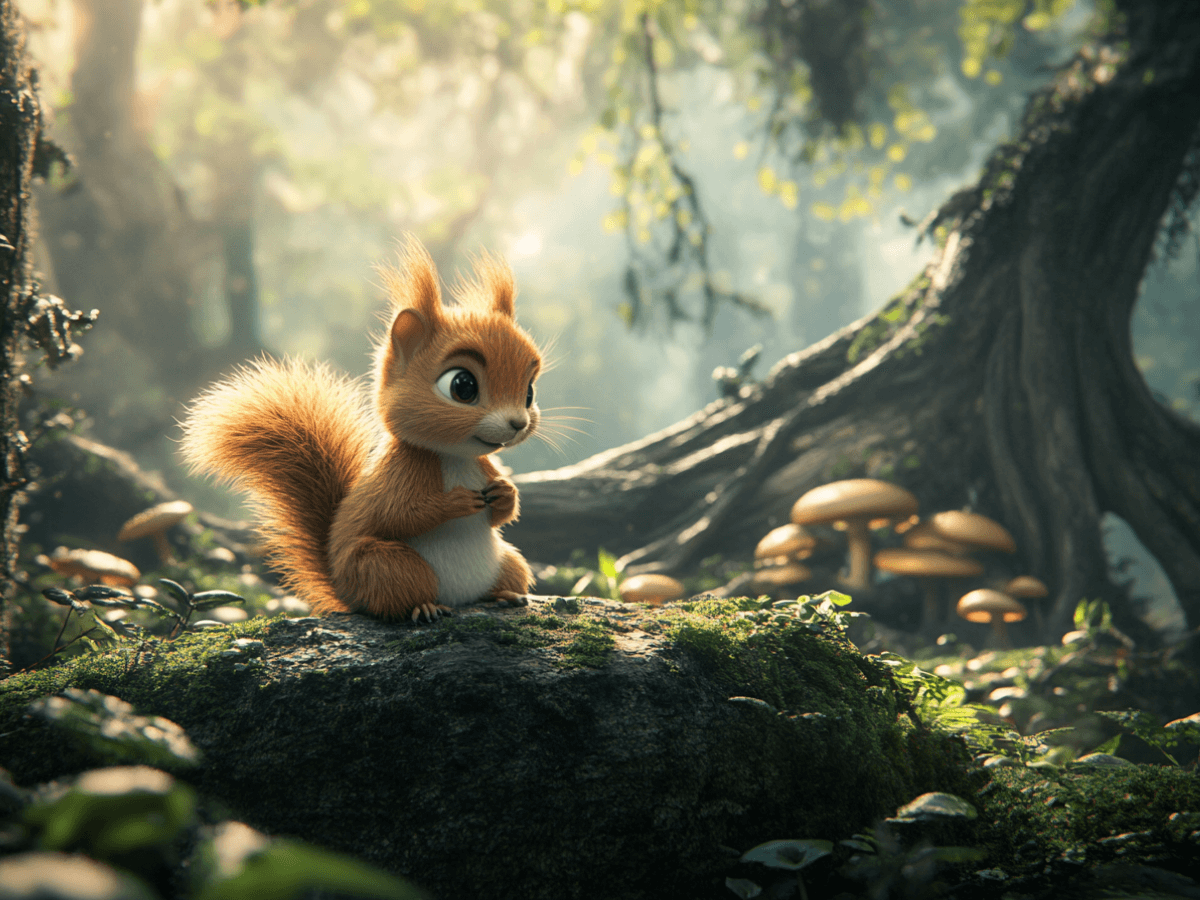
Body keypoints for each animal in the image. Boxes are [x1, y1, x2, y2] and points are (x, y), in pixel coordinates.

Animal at [180, 238, 542, 622]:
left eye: (529, 392)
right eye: (462, 386)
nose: (518, 423)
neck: (454, 457)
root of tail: (345, 593)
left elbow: (500, 515)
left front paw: (505, 492)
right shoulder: (398, 477)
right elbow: (400, 515)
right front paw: (454, 501)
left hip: (508, 559)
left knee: (507, 573)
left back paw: (506, 594)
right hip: (384, 565)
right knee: (395, 594)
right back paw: (424, 606)